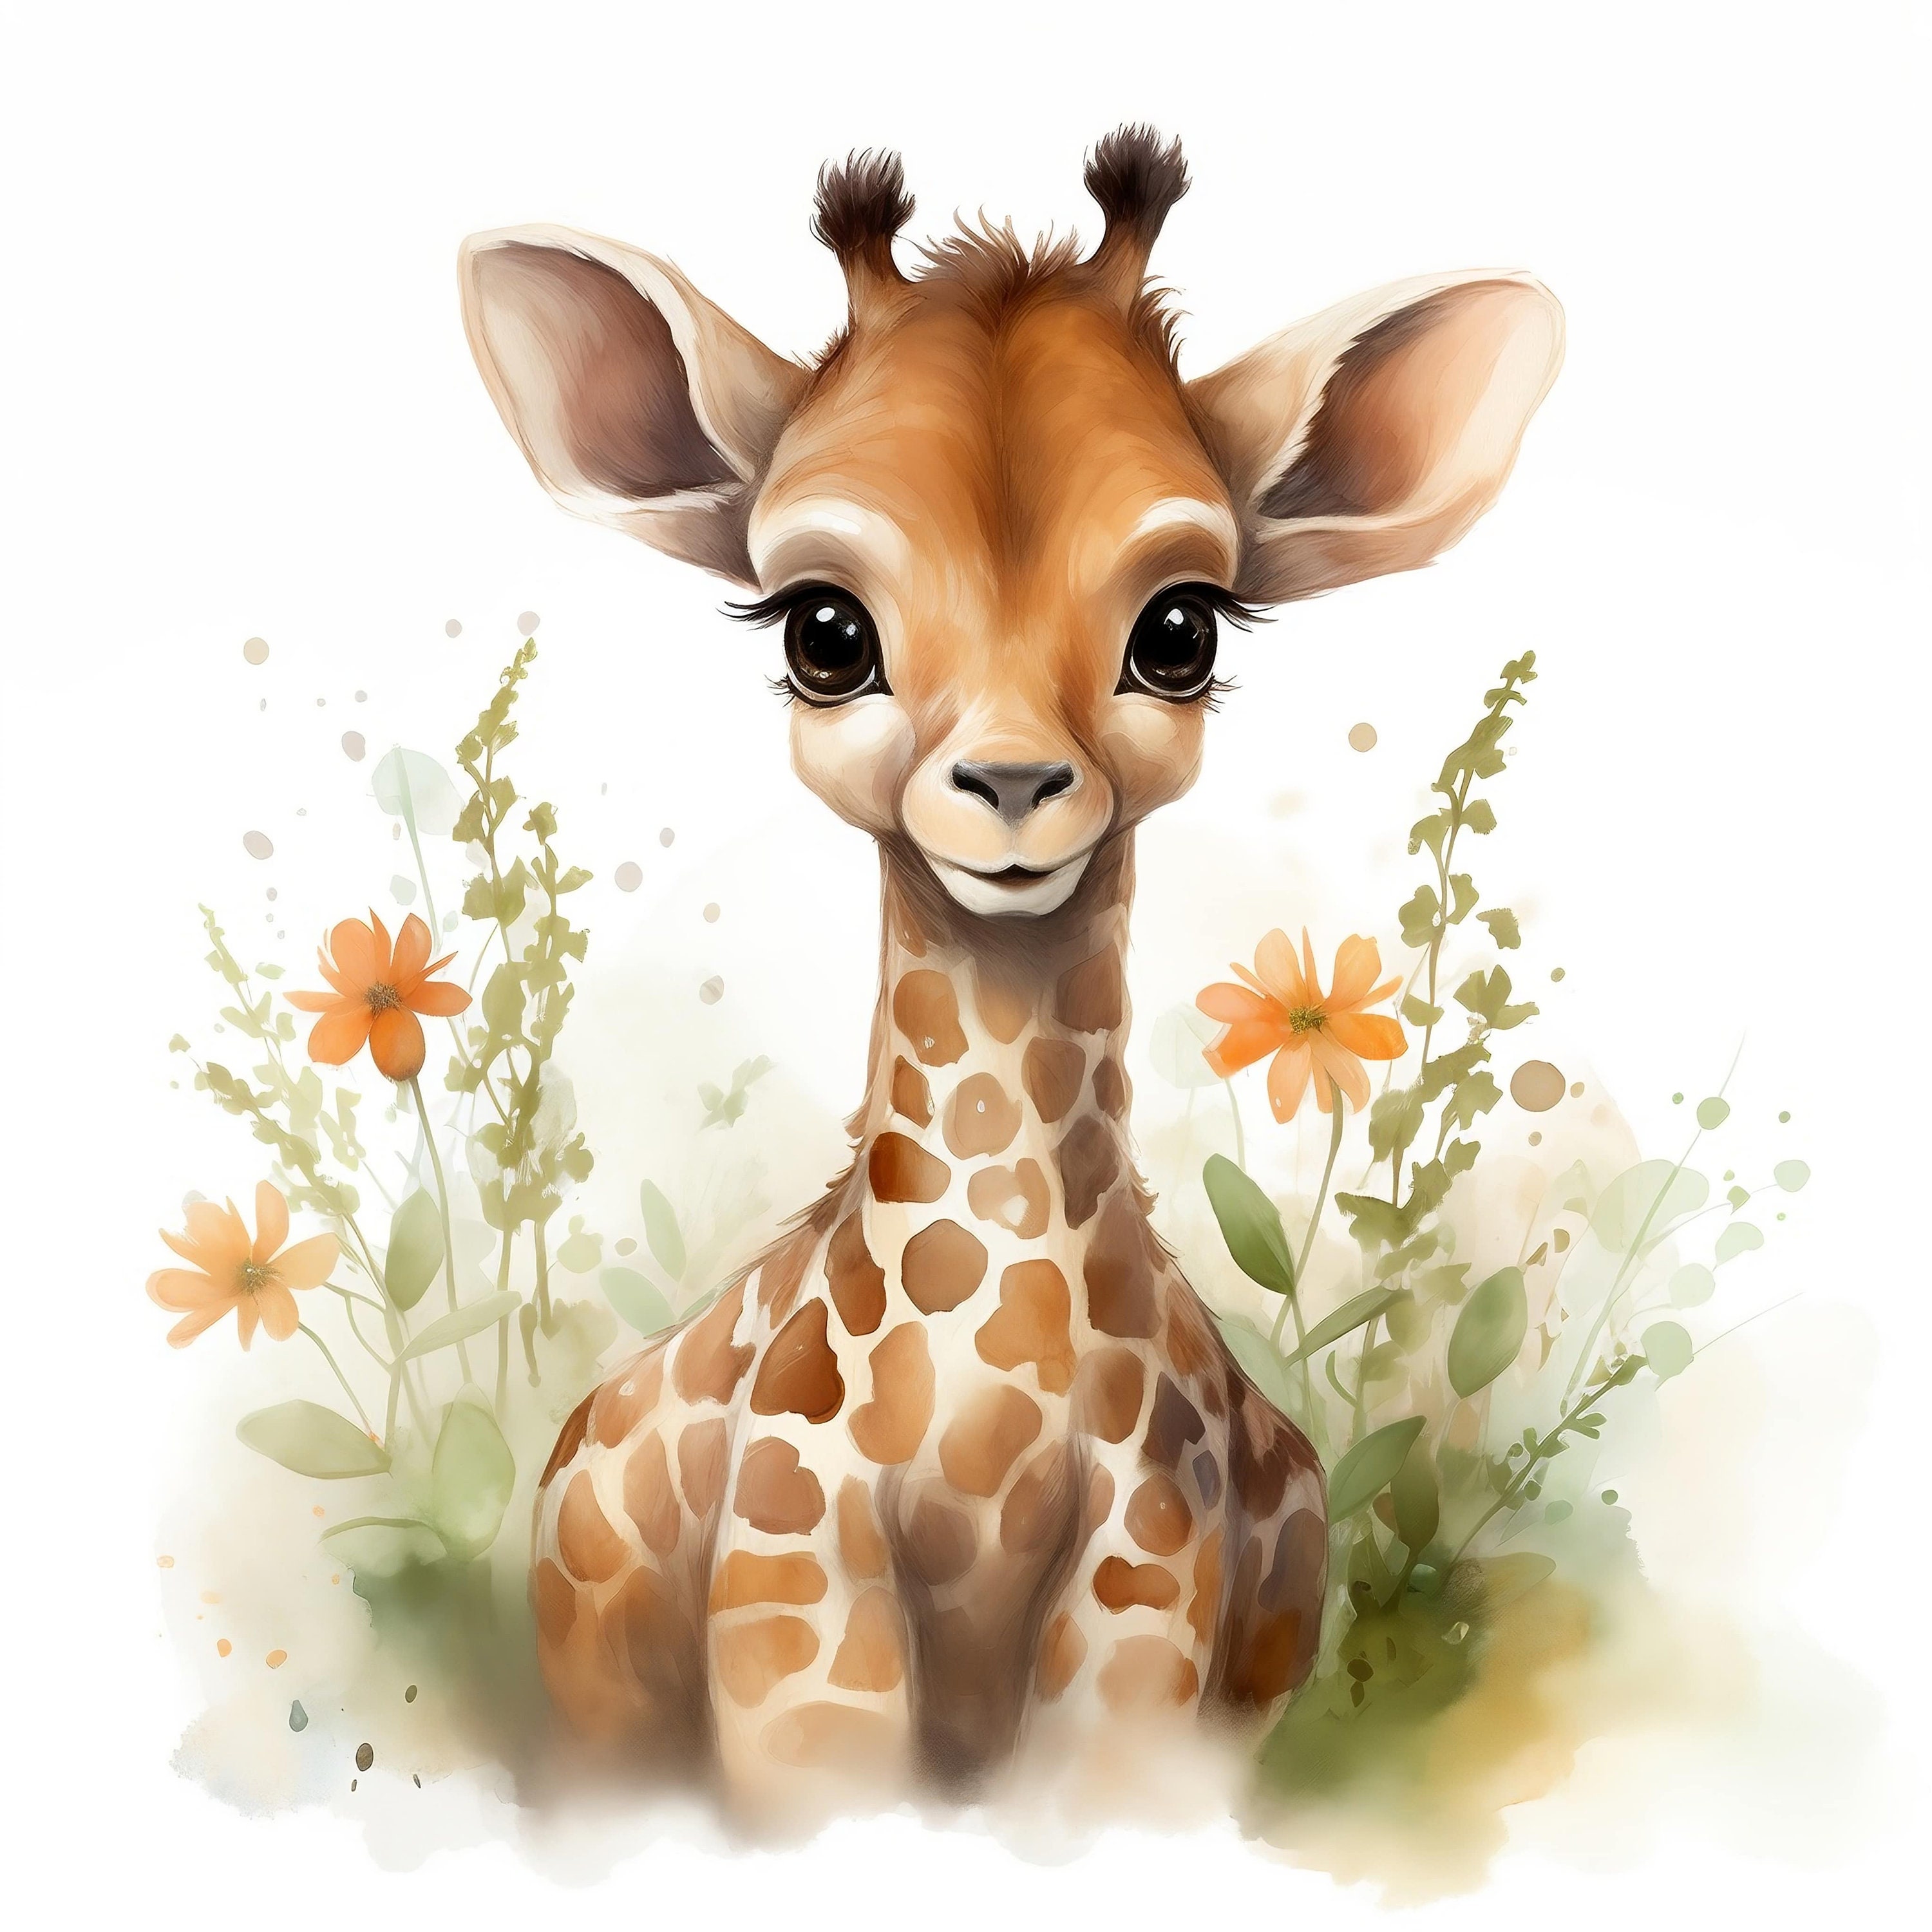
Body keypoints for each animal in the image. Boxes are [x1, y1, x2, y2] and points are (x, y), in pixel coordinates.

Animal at [459, 128, 1563, 1814]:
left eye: (1179, 628)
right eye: (824, 628)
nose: (1013, 789)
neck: (981, 1423)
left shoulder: (1143, 1617)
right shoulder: (795, 1603)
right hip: (597, 1710)